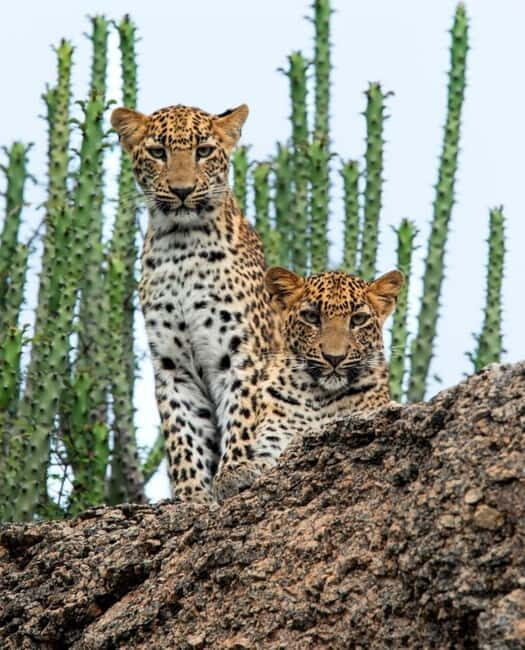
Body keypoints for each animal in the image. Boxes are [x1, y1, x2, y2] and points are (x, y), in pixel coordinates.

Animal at [111, 103, 277, 503]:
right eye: (158, 152)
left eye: (203, 151)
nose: (182, 190)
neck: (182, 246)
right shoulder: (172, 365)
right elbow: (181, 430)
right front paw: (189, 493)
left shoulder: (240, 352)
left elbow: (242, 411)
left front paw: (235, 470)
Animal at [212, 266, 404, 501]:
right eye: (311, 317)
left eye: (358, 320)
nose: (334, 358)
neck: (318, 397)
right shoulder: (275, 440)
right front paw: (234, 474)